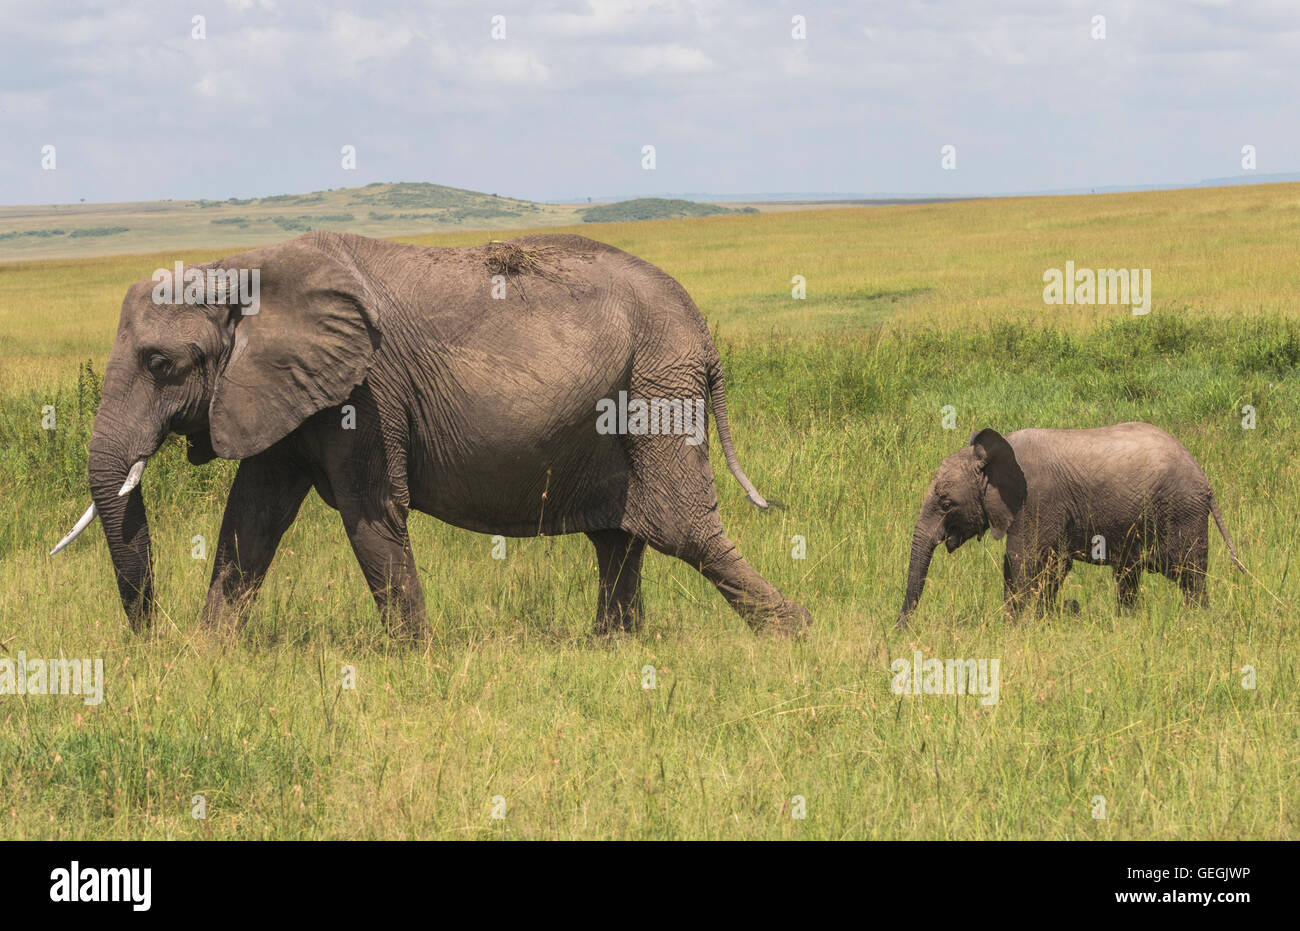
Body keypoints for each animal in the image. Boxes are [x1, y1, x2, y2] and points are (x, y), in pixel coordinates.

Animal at [50, 231, 811, 638]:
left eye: (160, 364)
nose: (153, 638)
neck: (238, 266)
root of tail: (703, 334)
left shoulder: (365, 389)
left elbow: (370, 514)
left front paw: (416, 656)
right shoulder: (284, 388)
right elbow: (253, 516)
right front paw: (210, 655)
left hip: (656, 384)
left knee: (680, 527)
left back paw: (793, 634)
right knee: (620, 538)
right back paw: (611, 648)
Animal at [897, 423, 1244, 626]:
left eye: (946, 504)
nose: (902, 629)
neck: (993, 454)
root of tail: (1206, 482)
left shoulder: (1036, 500)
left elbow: (1023, 561)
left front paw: (1017, 627)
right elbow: (1047, 566)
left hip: (1181, 512)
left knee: (1189, 575)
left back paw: (1196, 622)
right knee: (1130, 576)